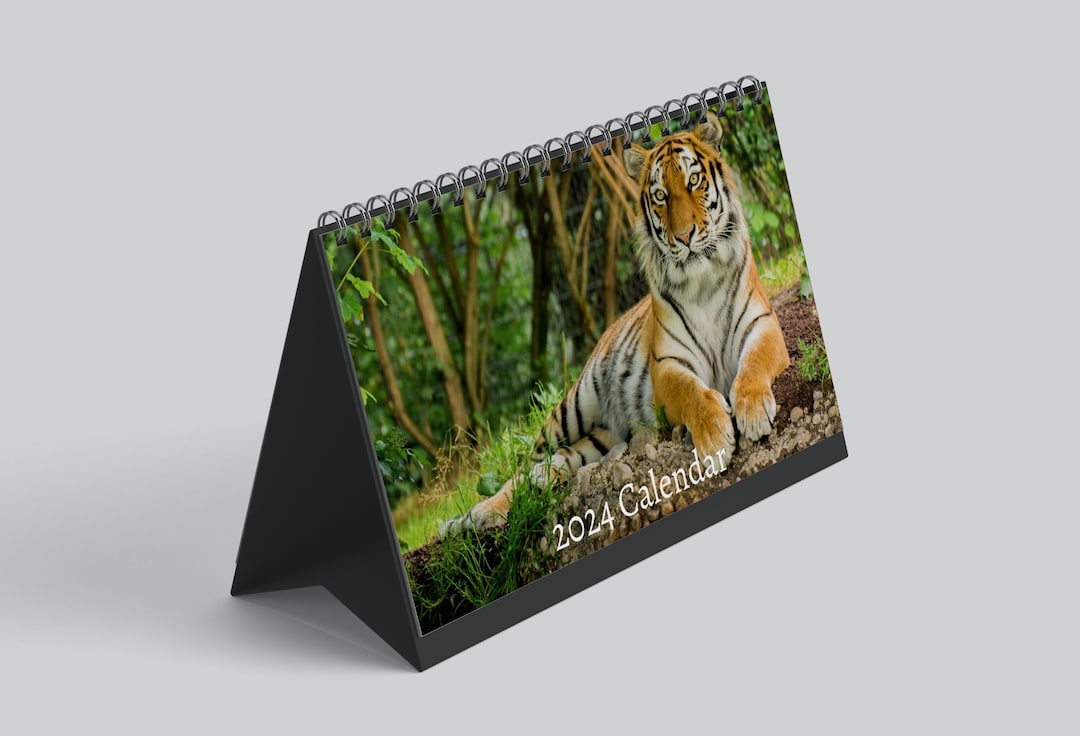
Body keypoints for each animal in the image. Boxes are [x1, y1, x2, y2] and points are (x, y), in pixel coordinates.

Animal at [440, 110, 789, 536]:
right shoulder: (667, 365)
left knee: (560, 461)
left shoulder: (762, 325)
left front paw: (752, 412)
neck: (702, 280)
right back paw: (477, 516)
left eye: (694, 181)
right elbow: (693, 394)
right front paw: (714, 439)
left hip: (602, 438)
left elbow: (753, 366)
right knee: (521, 469)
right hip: (570, 409)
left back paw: (536, 484)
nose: (685, 236)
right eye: (660, 196)